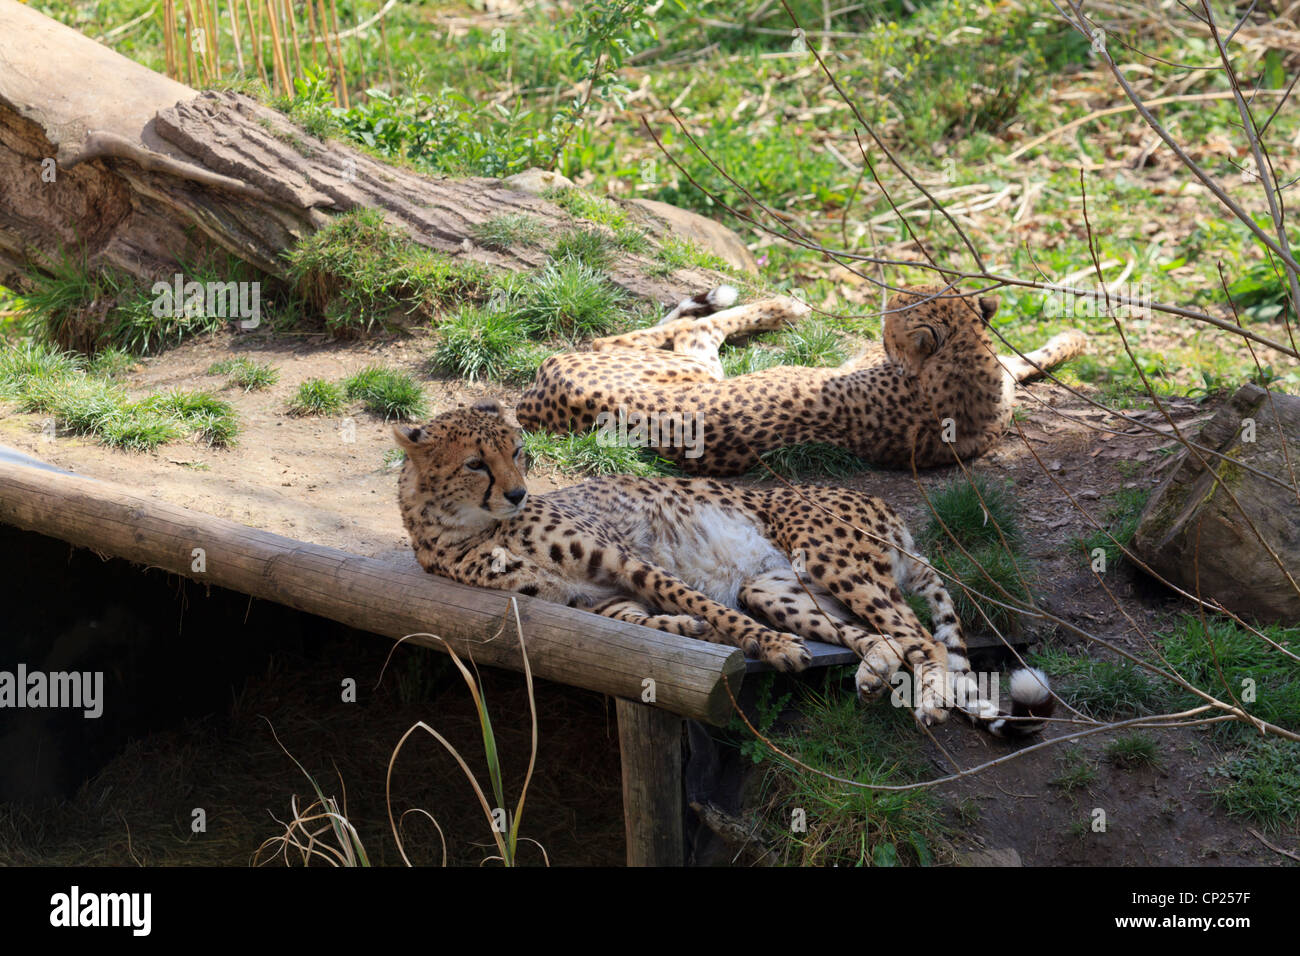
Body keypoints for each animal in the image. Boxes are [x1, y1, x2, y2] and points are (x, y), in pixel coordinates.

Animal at [394, 401, 1055, 735]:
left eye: (518, 451)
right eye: (477, 463)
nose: (517, 493)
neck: (462, 527)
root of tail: (885, 506)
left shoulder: (625, 558)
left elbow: (694, 599)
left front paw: (761, 644)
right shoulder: (591, 599)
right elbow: (644, 622)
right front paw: (691, 631)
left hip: (827, 557)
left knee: (921, 635)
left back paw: (928, 700)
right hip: (775, 586)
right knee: (879, 636)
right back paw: (870, 673)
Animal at [515, 284, 1089, 476]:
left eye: (892, 321)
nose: (882, 308)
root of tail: (531, 405)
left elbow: (1022, 362)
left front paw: (1071, 339)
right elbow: (1023, 360)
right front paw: (1074, 337)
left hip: (699, 369)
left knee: (681, 330)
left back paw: (779, 306)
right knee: (671, 330)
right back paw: (782, 306)